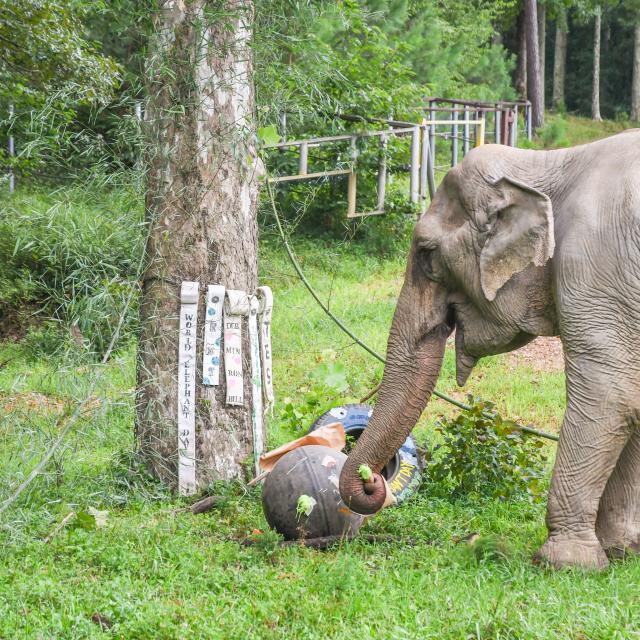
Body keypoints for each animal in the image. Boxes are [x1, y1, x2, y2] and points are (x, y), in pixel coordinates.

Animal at [339, 130, 640, 570]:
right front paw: (622, 551)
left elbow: (613, 395)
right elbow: (634, 397)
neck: (548, 163)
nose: (373, 479)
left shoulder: (596, 266)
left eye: (426, 253)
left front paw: (565, 563)